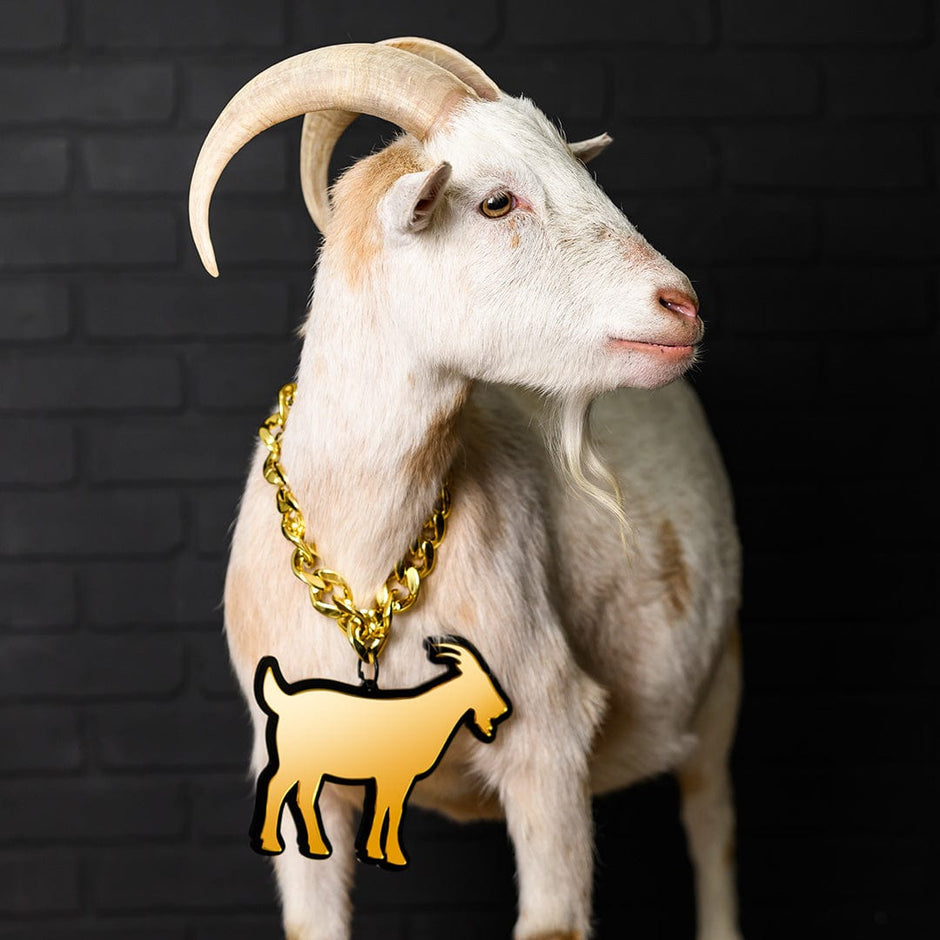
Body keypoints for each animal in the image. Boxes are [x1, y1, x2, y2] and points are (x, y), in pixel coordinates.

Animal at [251, 637, 511, 869]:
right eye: (483, 679)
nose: (503, 709)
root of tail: (284, 701)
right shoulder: (399, 778)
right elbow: (393, 811)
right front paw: (395, 857)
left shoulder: (389, 779)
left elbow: (382, 808)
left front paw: (374, 853)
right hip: (295, 762)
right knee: (275, 786)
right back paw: (273, 844)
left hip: (309, 769)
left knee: (301, 797)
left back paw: (316, 847)